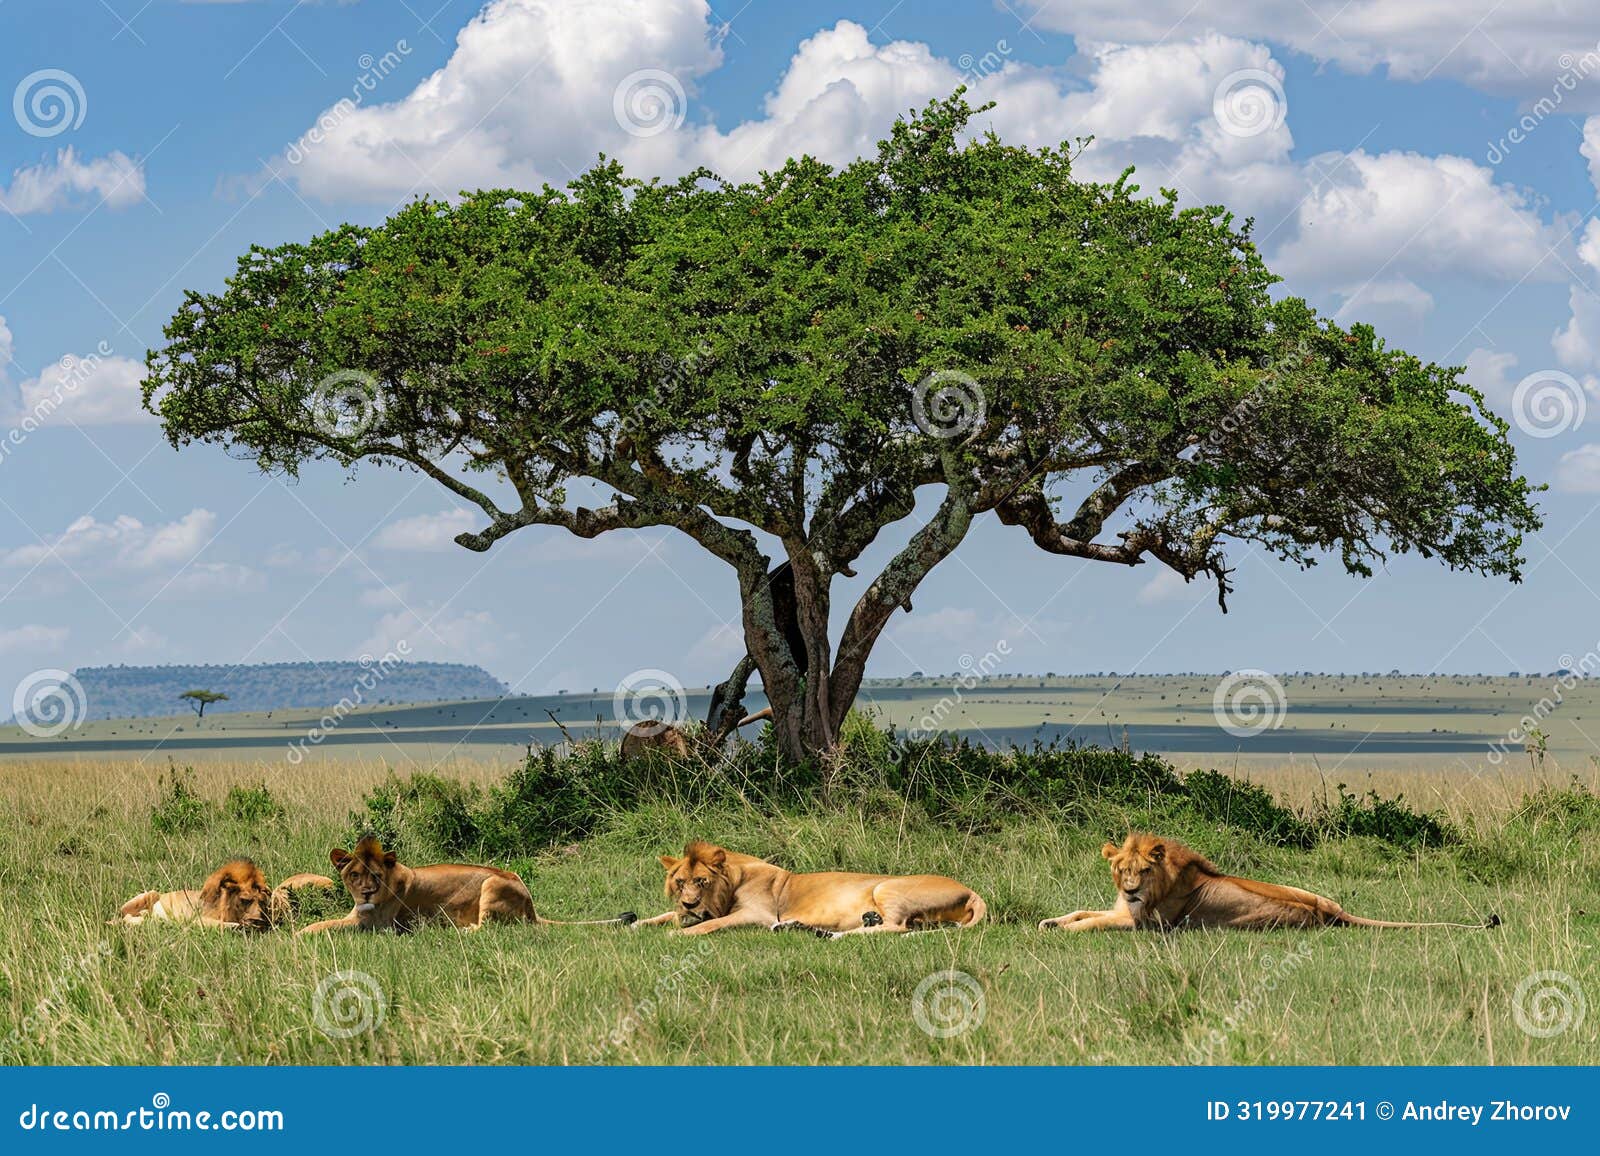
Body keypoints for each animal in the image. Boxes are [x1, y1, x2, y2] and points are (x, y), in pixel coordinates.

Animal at [112, 859, 335, 931]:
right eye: (245, 900)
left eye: (263, 902)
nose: (257, 920)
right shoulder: (199, 918)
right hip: (151, 893)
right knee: (120, 918)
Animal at [297, 835, 635, 934]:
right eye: (354, 875)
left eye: (376, 876)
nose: (366, 891)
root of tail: (531, 905)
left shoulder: (374, 924)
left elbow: (325, 925)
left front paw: (297, 936)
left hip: (492, 884)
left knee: (488, 928)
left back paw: (461, 930)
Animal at [635, 840, 986, 937]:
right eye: (680, 882)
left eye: (701, 881)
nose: (689, 904)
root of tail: (972, 891)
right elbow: (665, 914)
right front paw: (637, 923)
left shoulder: (759, 915)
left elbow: (713, 923)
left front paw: (677, 934)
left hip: (886, 886)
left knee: (896, 927)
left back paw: (833, 934)